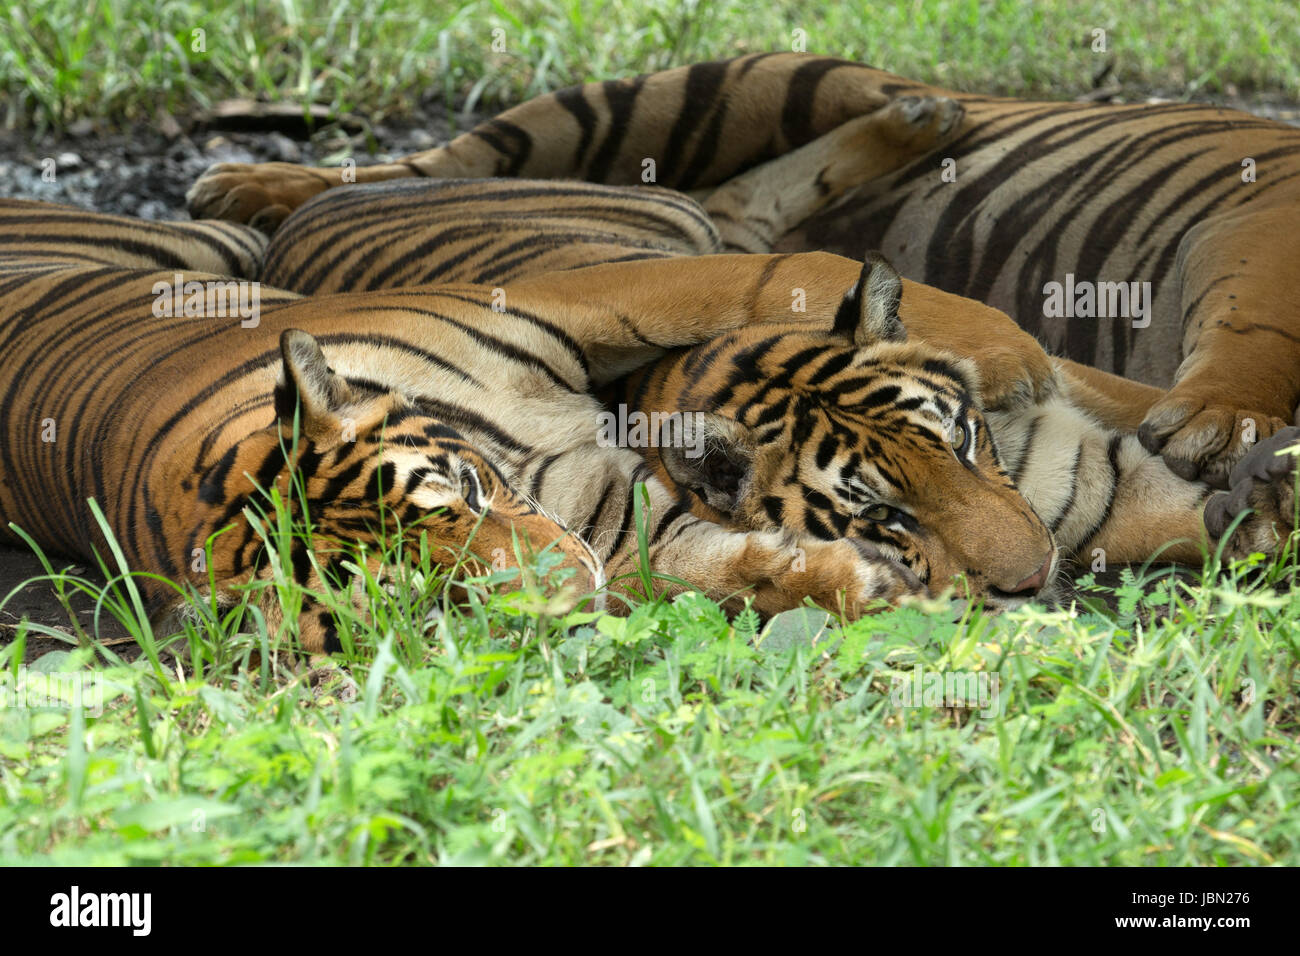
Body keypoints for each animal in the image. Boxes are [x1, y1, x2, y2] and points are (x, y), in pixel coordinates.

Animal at [188, 52, 1300, 490]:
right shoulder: (1258, 224)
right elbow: (1256, 334)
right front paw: (1221, 424)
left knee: (750, 206)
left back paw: (921, 120)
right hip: (706, 91)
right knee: (436, 158)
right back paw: (247, 185)